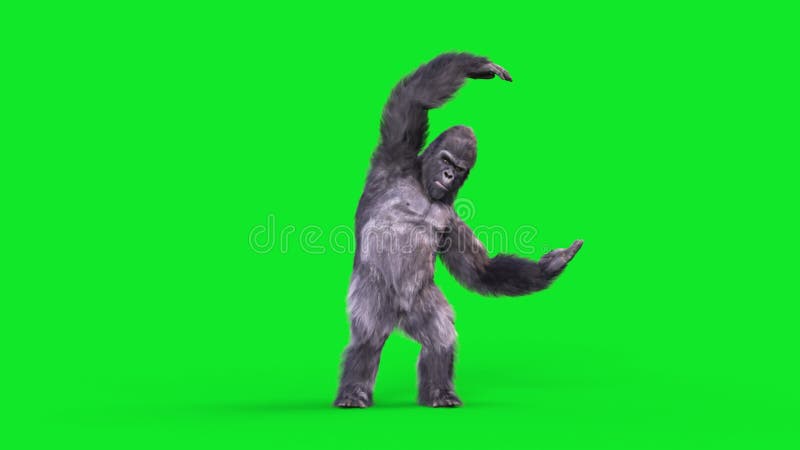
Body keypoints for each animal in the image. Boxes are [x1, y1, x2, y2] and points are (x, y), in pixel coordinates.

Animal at [334, 53, 583, 408]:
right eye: (446, 160)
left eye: (461, 168)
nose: (450, 175)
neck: (424, 187)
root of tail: (398, 318)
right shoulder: (394, 155)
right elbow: (413, 99)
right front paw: (478, 67)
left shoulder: (452, 223)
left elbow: (478, 270)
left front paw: (553, 263)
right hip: (371, 296)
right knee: (367, 339)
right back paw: (354, 393)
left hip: (421, 302)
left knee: (439, 339)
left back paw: (439, 392)